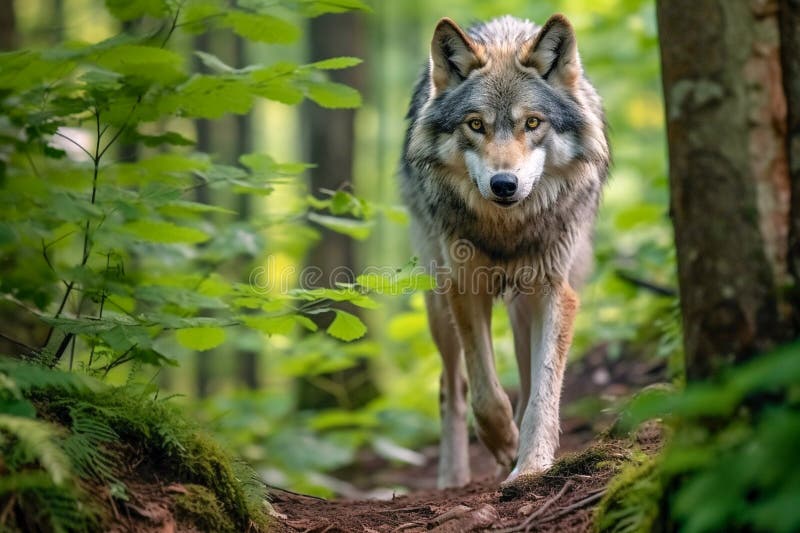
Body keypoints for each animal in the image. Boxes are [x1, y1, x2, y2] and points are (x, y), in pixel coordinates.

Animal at [400, 14, 610, 488]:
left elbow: (543, 390)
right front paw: (504, 443)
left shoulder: (555, 291)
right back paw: (453, 477)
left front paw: (530, 464)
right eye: (476, 125)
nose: (504, 184)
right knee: (451, 389)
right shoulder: (464, 289)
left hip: (524, 304)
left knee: (527, 376)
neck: (508, 230)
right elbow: (485, 394)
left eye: (532, 123)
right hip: (437, 302)